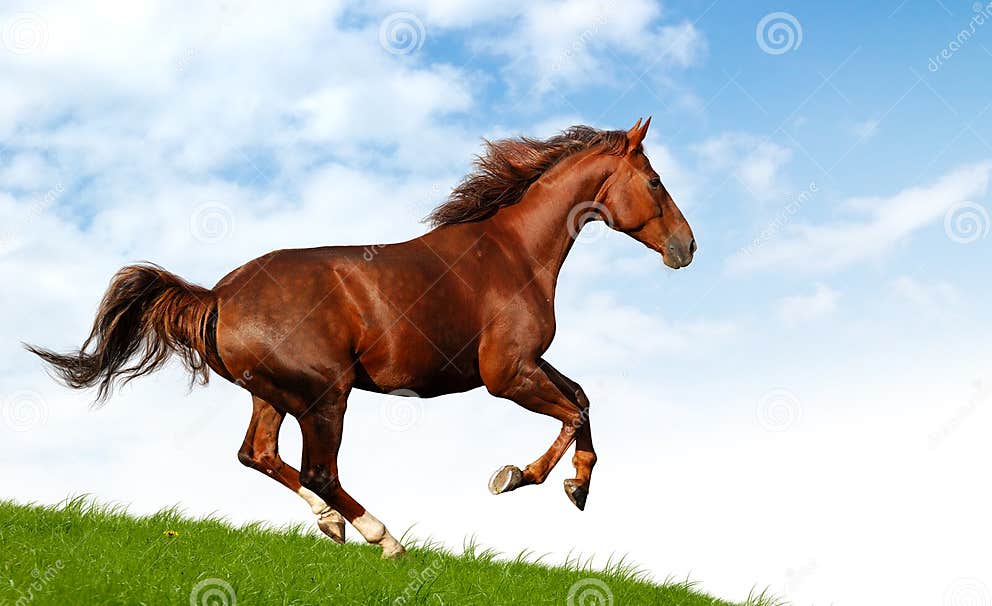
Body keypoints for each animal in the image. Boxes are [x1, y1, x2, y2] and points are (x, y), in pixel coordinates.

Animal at [27, 118, 695, 558]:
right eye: (655, 181)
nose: (688, 247)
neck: (514, 252)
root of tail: (218, 295)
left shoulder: (528, 364)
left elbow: (582, 400)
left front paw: (576, 487)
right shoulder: (506, 375)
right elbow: (572, 411)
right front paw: (518, 476)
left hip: (273, 394)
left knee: (259, 455)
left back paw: (332, 524)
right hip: (326, 395)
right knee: (317, 470)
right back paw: (384, 538)